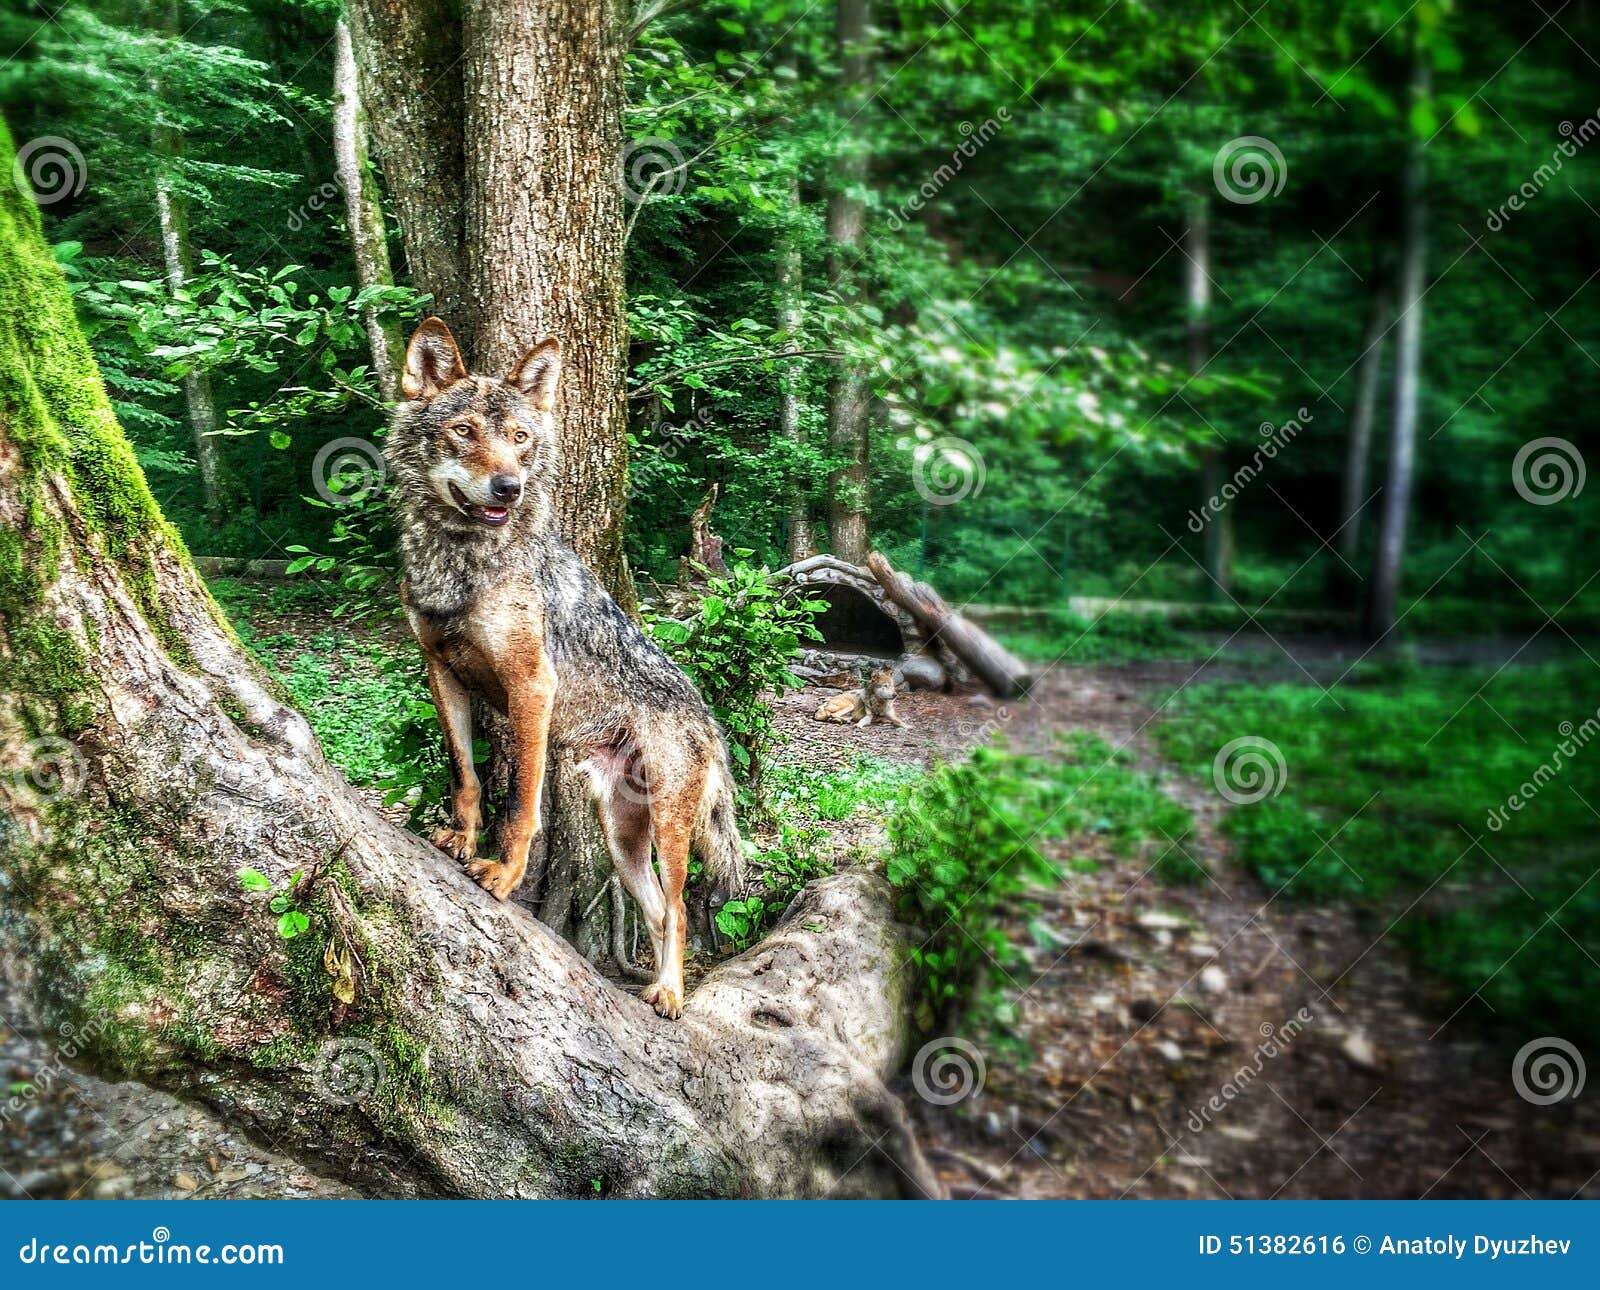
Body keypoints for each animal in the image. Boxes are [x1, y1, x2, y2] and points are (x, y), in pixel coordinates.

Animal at [385, 318, 744, 1019]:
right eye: (464, 431)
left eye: (521, 439)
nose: (509, 487)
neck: (461, 561)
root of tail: (707, 716)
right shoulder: (442, 671)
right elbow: (467, 777)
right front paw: (461, 838)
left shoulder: (531, 686)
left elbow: (521, 807)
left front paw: (502, 875)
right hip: (621, 842)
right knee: (656, 911)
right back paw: (651, 984)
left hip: (668, 829)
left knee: (681, 909)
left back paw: (669, 994)